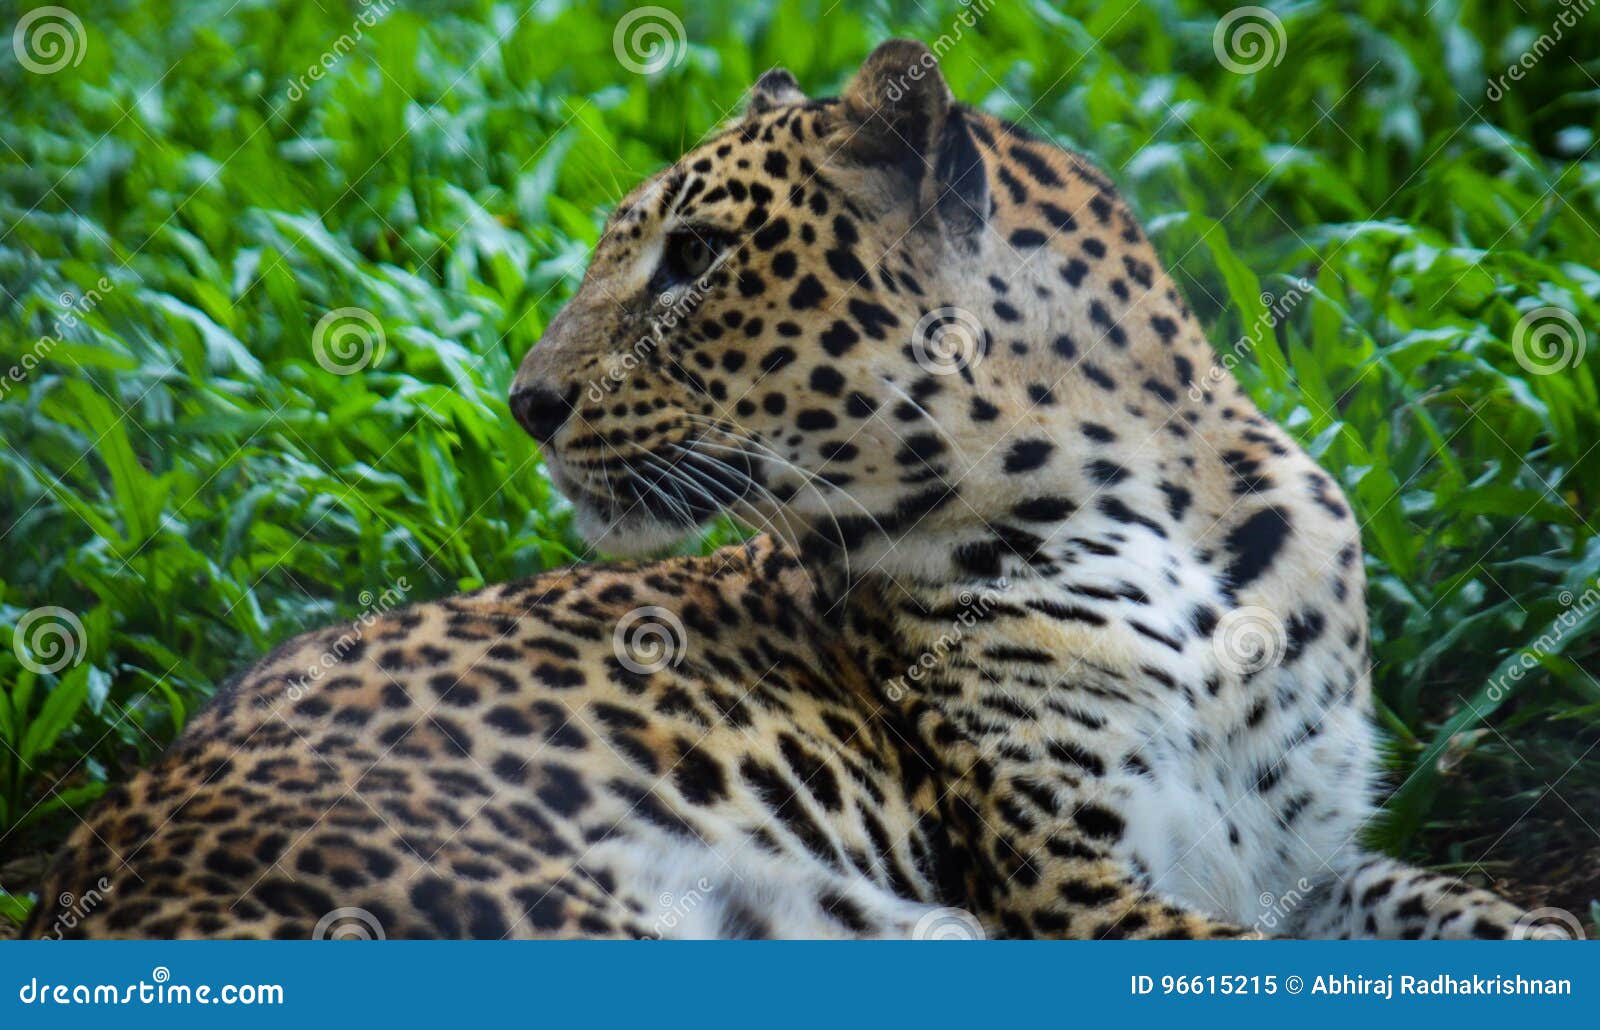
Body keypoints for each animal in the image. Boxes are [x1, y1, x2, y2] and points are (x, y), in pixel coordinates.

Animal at [26, 39, 1550, 940]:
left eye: (695, 256)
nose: (525, 402)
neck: (1158, 518)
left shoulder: (1300, 854)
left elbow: (1468, 908)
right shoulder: (1074, 881)